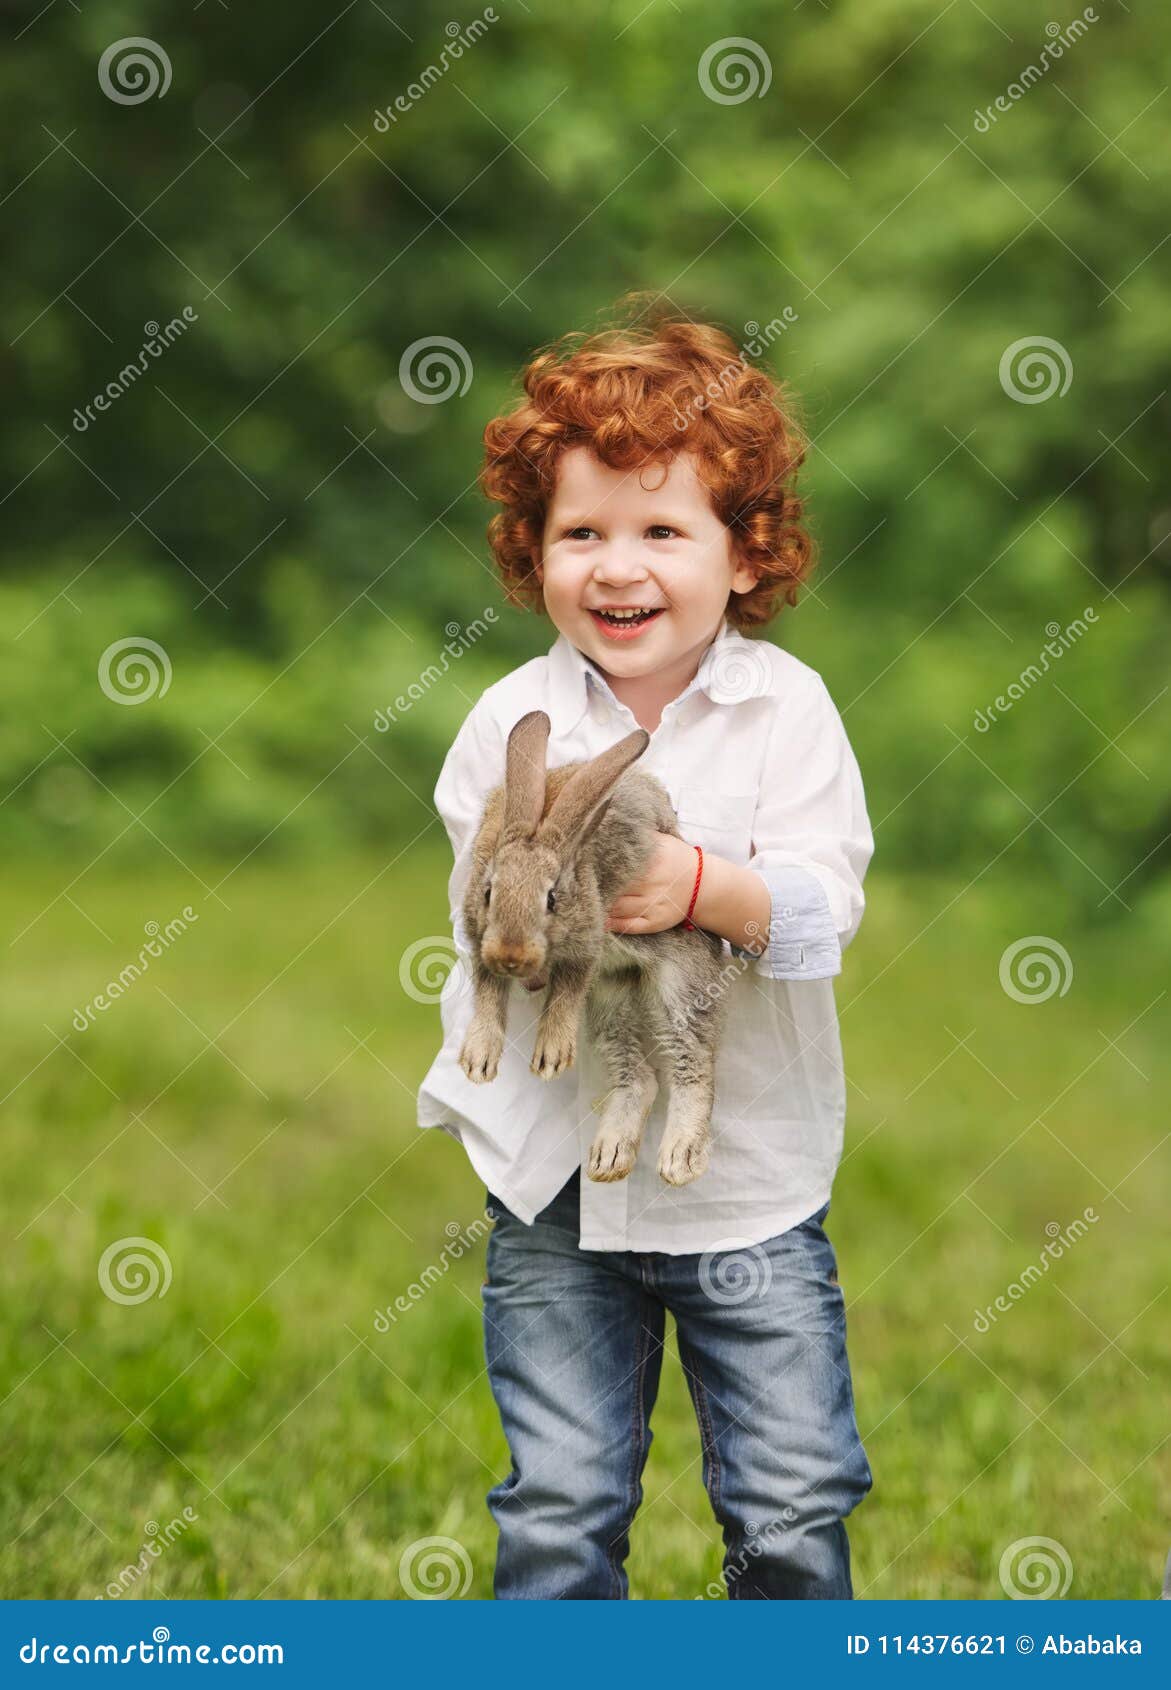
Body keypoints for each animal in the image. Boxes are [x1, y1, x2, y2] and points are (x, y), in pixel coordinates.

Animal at [456, 708, 732, 1187]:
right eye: (489, 892)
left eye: (552, 899)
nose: (512, 956)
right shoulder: (481, 941)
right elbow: (488, 995)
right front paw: (479, 1060)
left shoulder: (587, 946)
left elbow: (566, 990)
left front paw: (550, 1056)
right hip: (612, 997)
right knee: (639, 1077)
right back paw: (610, 1155)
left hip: (680, 986)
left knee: (694, 1066)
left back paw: (679, 1158)